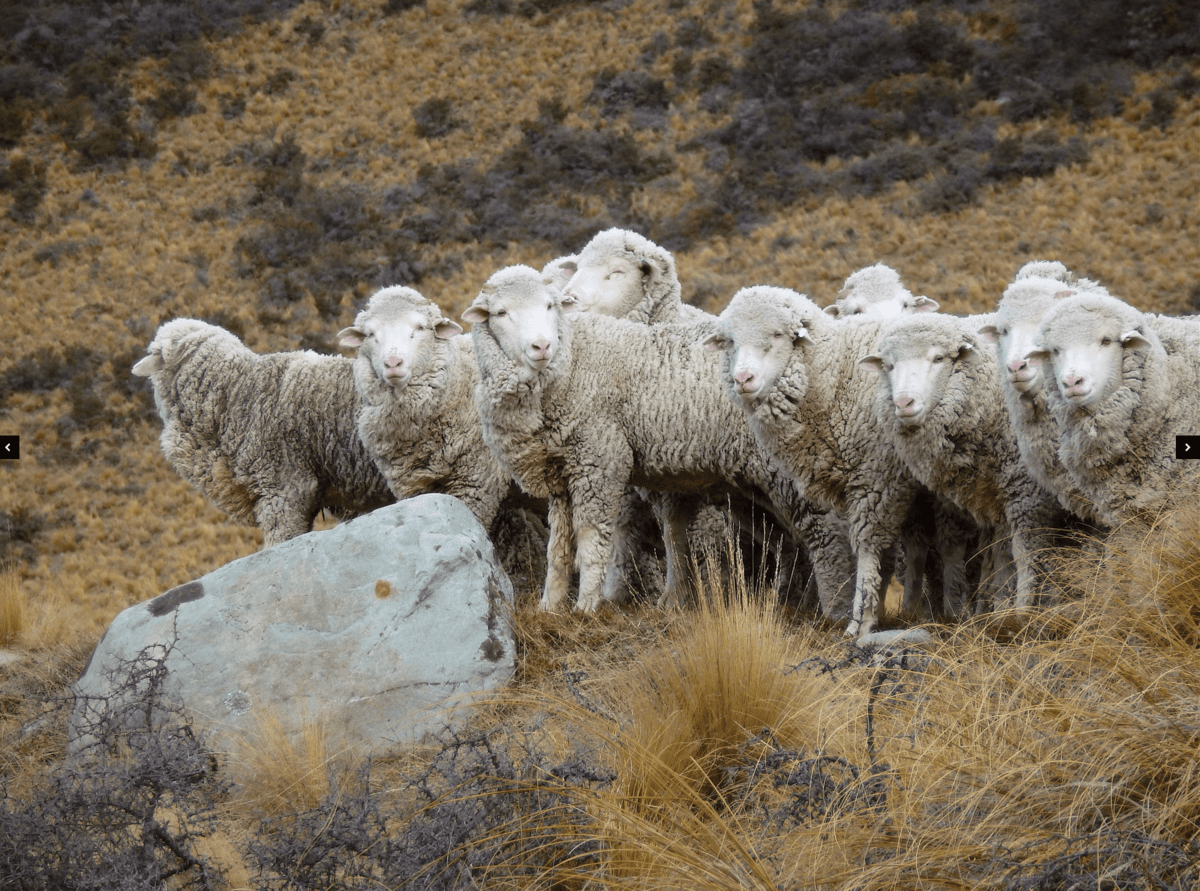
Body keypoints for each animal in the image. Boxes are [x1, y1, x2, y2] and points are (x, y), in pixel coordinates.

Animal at [464, 266, 848, 615]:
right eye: (501, 313)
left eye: (549, 306)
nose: (541, 346)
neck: (571, 363)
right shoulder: (561, 474)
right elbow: (558, 547)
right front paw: (550, 606)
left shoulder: (599, 461)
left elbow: (591, 540)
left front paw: (586, 608)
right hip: (752, 486)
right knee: (788, 539)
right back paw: (790, 600)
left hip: (792, 470)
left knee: (827, 535)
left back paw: (832, 610)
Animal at [704, 286, 923, 637]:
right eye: (730, 340)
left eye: (777, 334)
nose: (743, 379)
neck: (837, 375)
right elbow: (883, 556)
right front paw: (872, 612)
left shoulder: (876, 479)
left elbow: (867, 549)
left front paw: (859, 622)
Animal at [860, 313, 1065, 610]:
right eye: (889, 366)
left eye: (938, 358)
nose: (904, 403)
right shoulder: (989, 501)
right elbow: (995, 557)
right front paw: (990, 607)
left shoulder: (1027, 494)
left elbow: (1023, 555)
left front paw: (1020, 611)